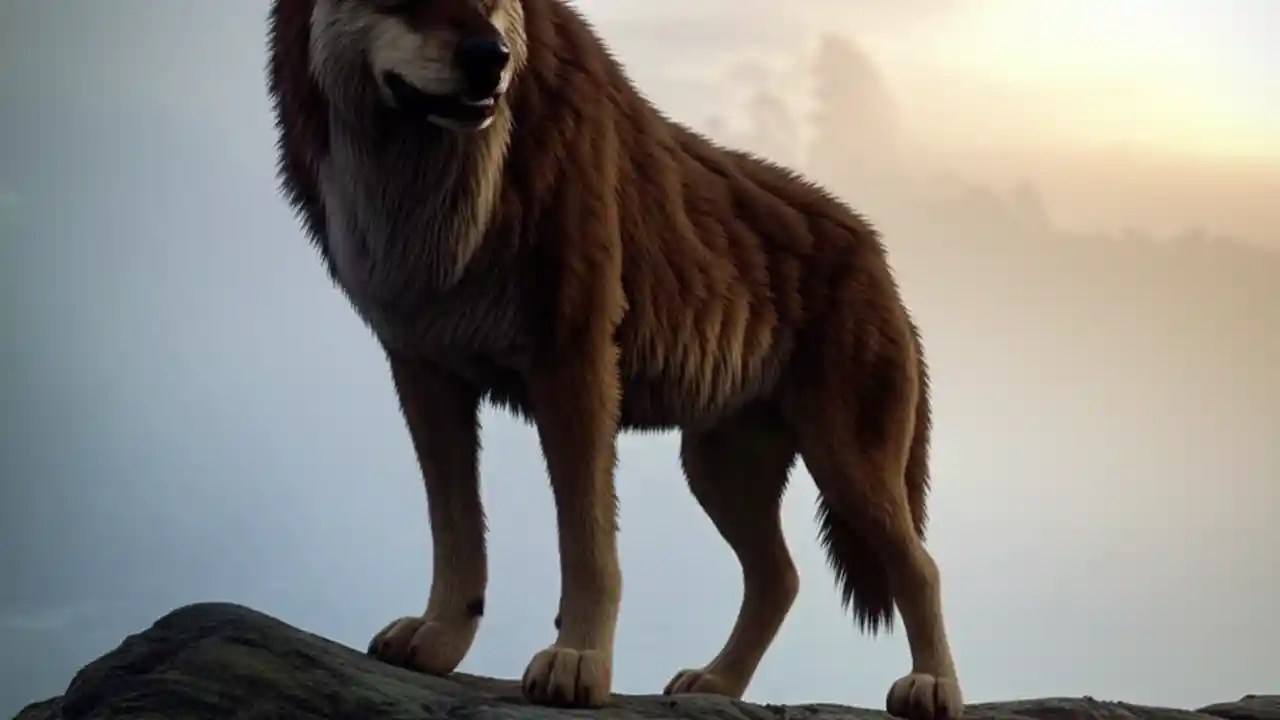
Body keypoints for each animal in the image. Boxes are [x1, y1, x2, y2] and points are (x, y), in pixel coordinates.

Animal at [265, 0, 964, 717]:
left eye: (492, 7)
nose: (491, 60)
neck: (446, 193)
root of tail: (877, 252)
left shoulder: (574, 365)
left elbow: (587, 542)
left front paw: (577, 662)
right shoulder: (424, 373)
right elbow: (454, 527)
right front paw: (438, 640)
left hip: (844, 463)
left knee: (919, 567)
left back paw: (933, 687)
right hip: (717, 472)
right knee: (780, 577)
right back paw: (716, 684)